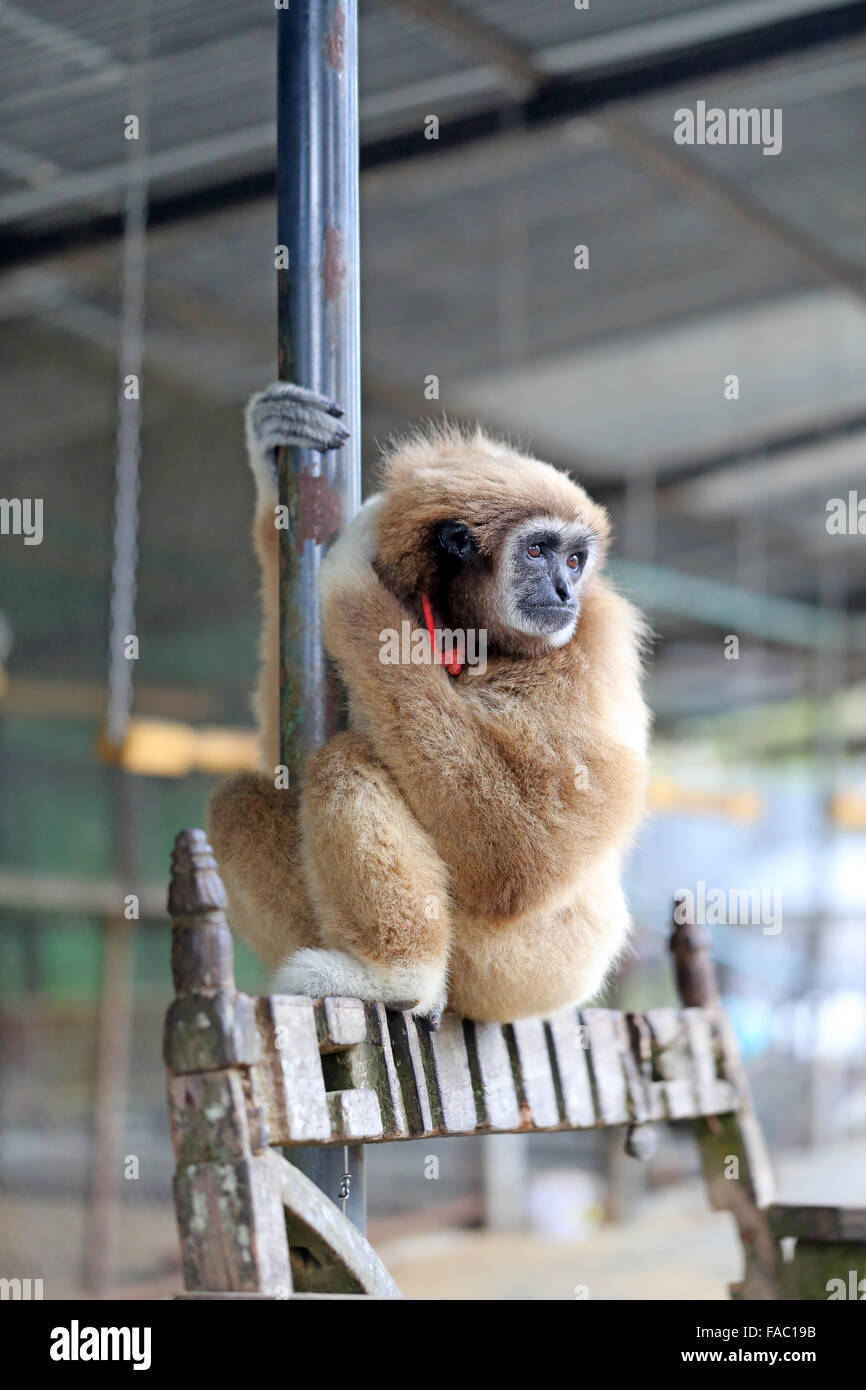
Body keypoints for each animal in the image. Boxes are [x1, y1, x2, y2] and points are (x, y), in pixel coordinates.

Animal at [208, 382, 650, 1025]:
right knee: (238, 798)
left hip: (528, 966)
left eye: (574, 560)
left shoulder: (591, 648)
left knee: (344, 761)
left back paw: (396, 977)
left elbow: (522, 855)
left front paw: (344, 578)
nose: (566, 590)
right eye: (539, 552)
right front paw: (270, 466)